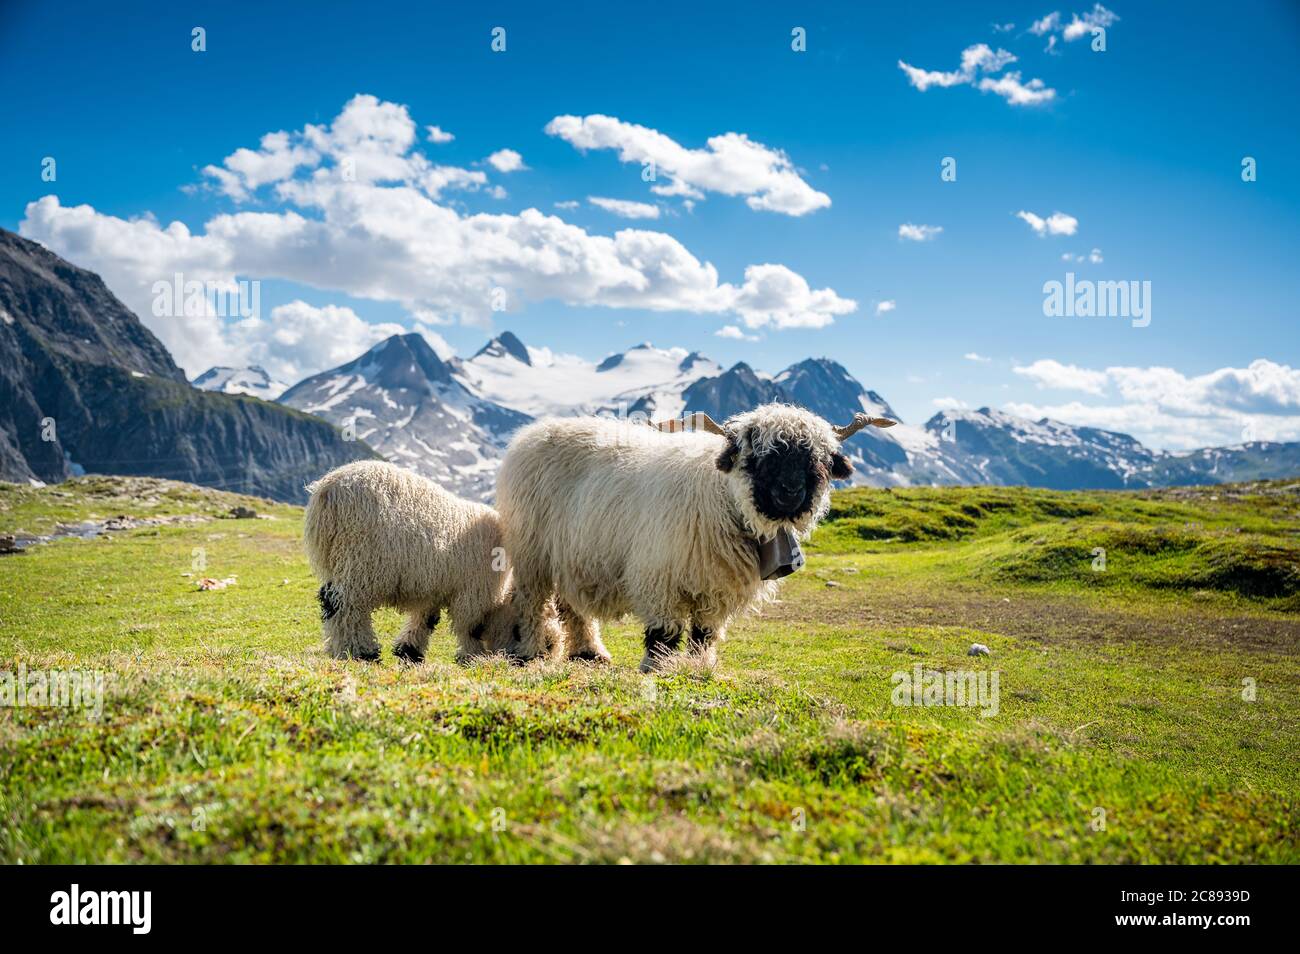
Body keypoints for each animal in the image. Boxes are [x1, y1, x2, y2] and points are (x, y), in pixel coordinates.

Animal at [303, 460, 531, 663]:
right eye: (517, 629)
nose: (519, 660)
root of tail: (327, 490)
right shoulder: (473, 591)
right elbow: (468, 626)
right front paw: (472, 655)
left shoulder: (436, 588)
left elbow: (426, 619)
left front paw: (408, 651)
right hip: (360, 561)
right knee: (344, 605)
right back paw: (361, 652)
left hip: (338, 562)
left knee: (330, 600)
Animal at [495, 403, 892, 671]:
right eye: (757, 458)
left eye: (818, 461)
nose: (790, 492)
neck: (723, 499)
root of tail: (533, 431)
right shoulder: (659, 577)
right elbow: (664, 633)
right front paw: (657, 668)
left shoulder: (717, 587)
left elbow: (704, 633)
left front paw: (701, 668)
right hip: (531, 550)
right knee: (532, 601)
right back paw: (531, 651)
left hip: (573, 553)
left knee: (571, 605)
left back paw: (589, 653)